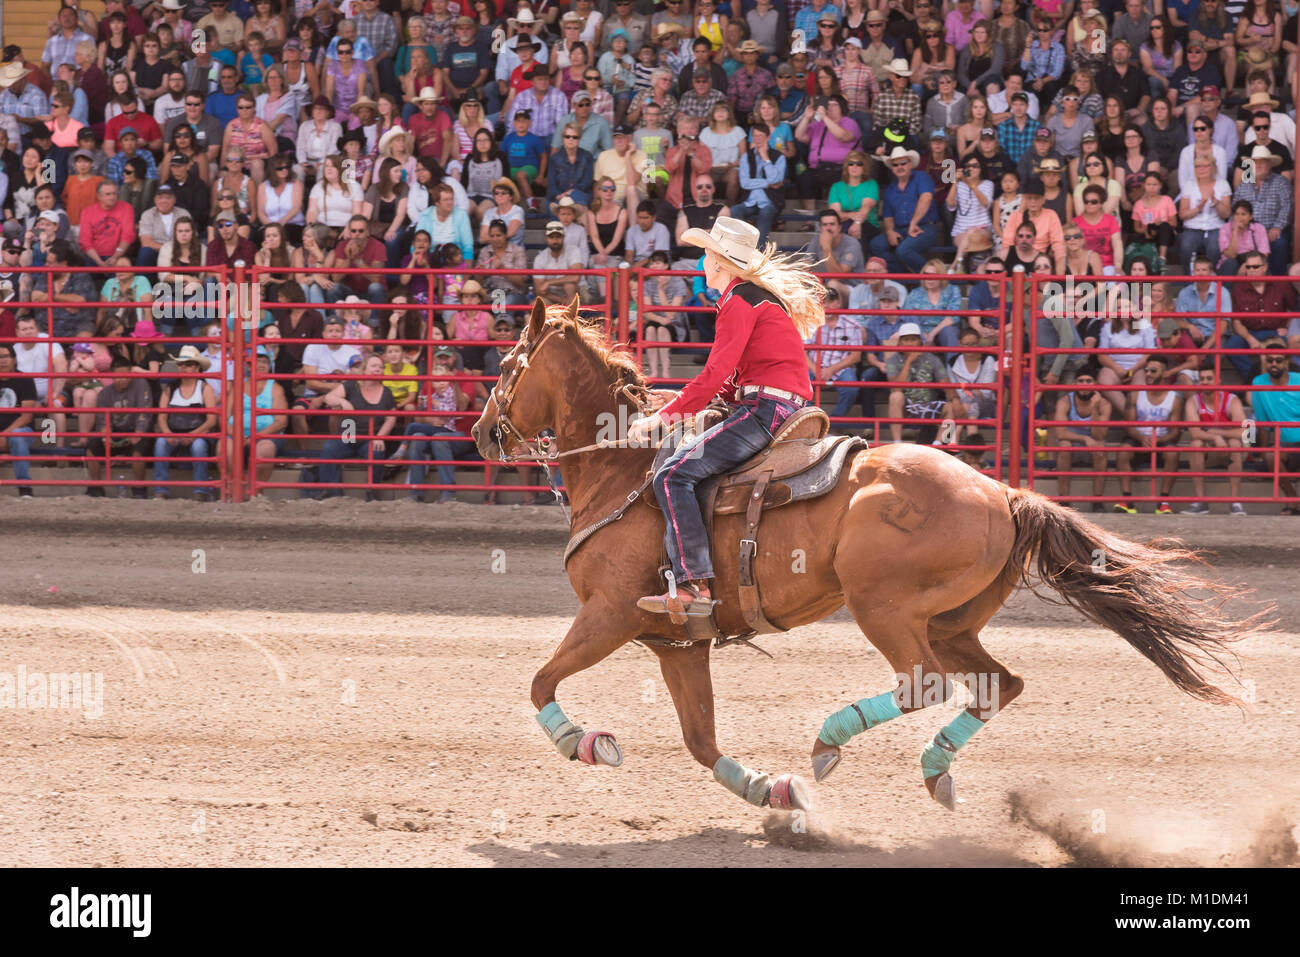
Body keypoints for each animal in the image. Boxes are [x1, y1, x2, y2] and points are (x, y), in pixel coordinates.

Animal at [471, 297, 1266, 813]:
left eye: (509, 364)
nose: (481, 433)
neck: (625, 469)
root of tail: (1002, 492)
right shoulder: (676, 642)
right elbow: (700, 739)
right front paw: (771, 790)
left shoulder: (608, 614)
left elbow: (540, 682)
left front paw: (586, 742)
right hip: (951, 620)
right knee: (997, 685)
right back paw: (935, 769)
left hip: (882, 605)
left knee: (925, 684)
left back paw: (831, 739)